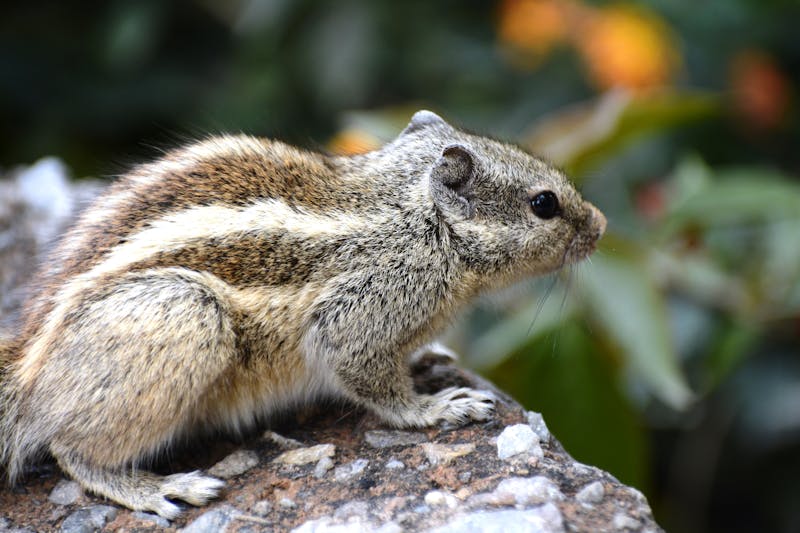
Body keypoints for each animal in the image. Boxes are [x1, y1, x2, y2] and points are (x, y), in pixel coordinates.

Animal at [0, 110, 605, 519]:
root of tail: (27, 371)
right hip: (188, 315)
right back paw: (159, 489)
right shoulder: (358, 314)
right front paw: (436, 408)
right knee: (71, 451)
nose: (600, 226)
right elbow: (372, 383)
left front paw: (429, 357)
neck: (417, 218)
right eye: (544, 204)